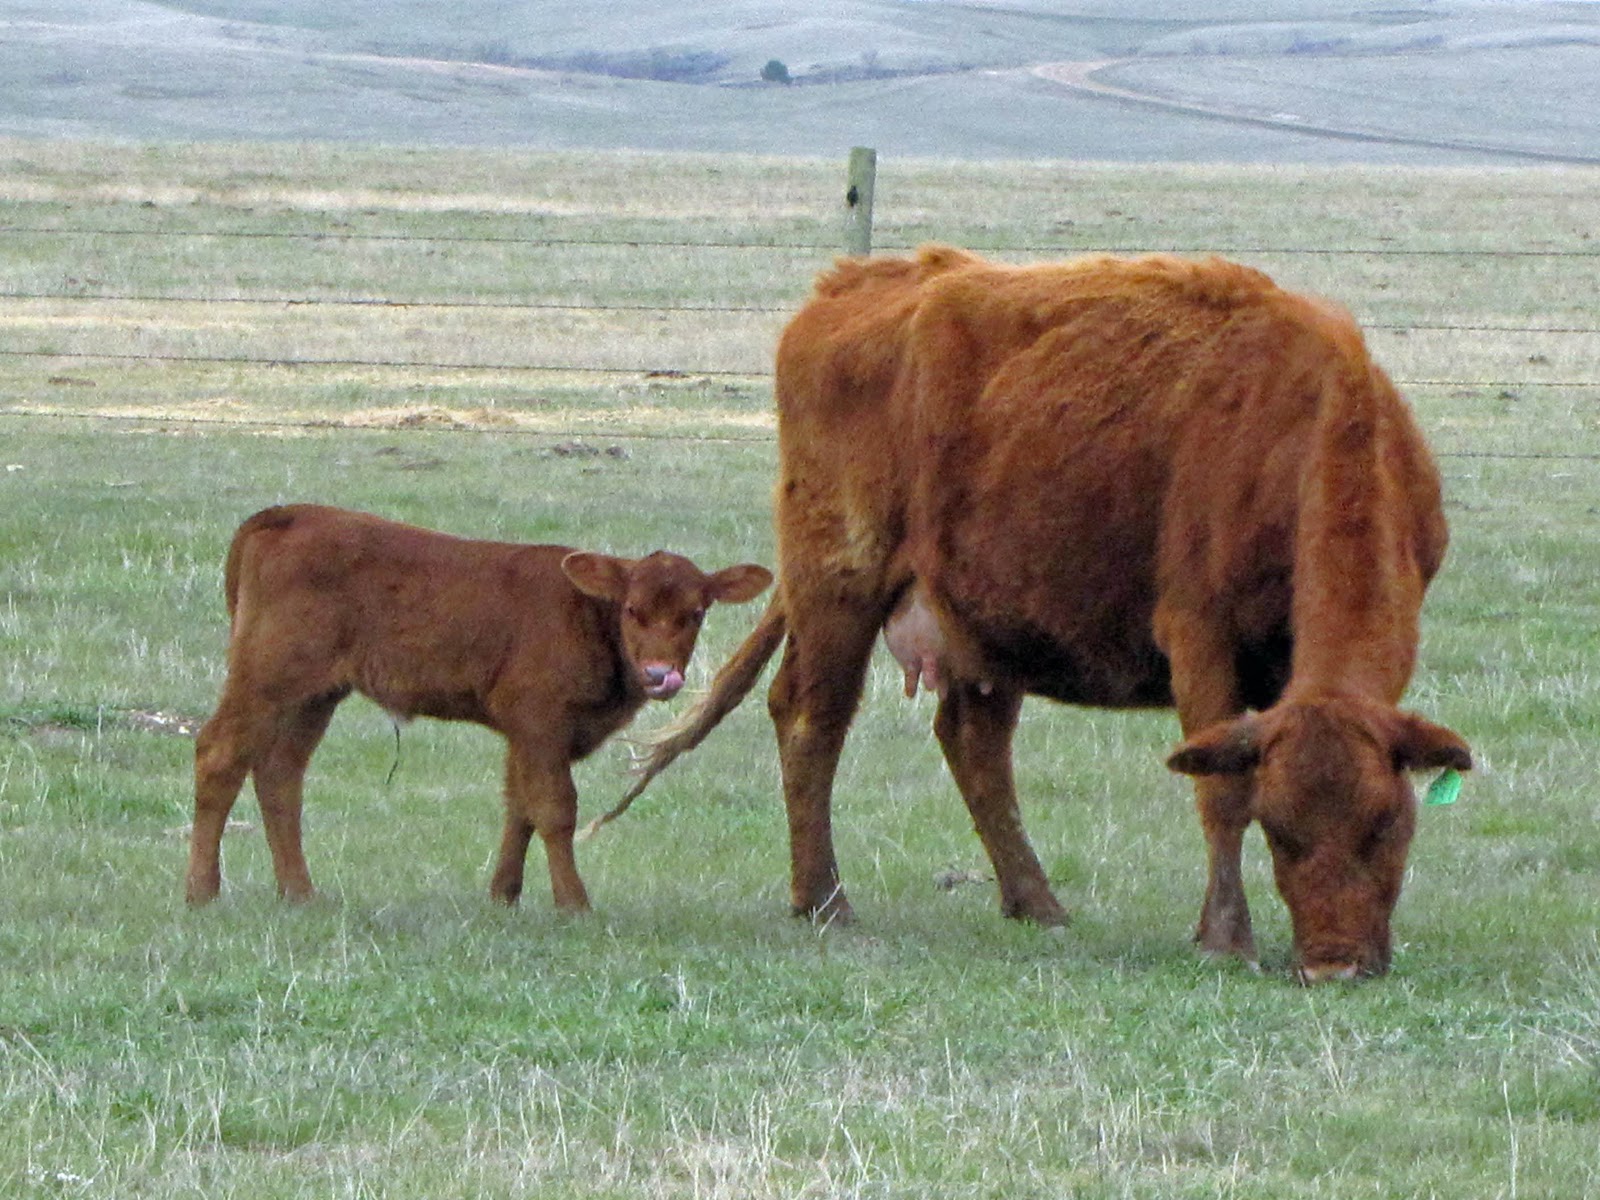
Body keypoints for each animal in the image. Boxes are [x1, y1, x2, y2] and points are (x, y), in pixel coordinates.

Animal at [184, 504, 771, 912]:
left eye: (696, 613)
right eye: (631, 609)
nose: (658, 674)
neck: (585, 618)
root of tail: (286, 514)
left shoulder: (523, 732)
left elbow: (519, 805)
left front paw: (503, 895)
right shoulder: (540, 720)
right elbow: (554, 807)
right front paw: (573, 902)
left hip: (313, 695)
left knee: (280, 773)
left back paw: (299, 892)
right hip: (265, 677)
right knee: (220, 754)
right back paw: (201, 891)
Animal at [617, 245, 1471, 982]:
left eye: (1388, 825)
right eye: (1281, 831)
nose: (1335, 964)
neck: (1295, 422)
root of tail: (854, 283)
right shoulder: (1201, 638)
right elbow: (1219, 795)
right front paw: (1226, 937)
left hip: (983, 623)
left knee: (974, 745)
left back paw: (1035, 901)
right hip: (839, 588)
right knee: (810, 722)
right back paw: (824, 899)